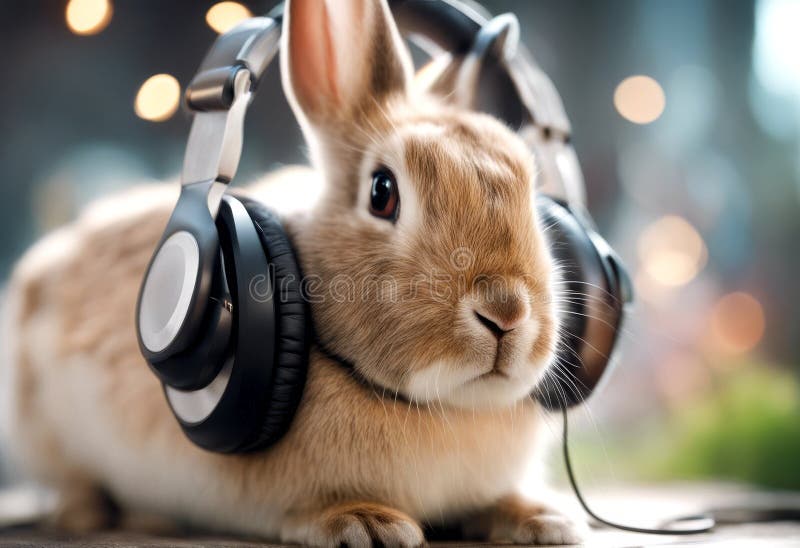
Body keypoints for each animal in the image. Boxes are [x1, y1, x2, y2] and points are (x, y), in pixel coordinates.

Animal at [2, 0, 588, 545]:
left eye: (533, 196)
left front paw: (545, 519)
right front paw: (365, 523)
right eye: (382, 192)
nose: (505, 312)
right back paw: (89, 513)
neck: (439, 406)